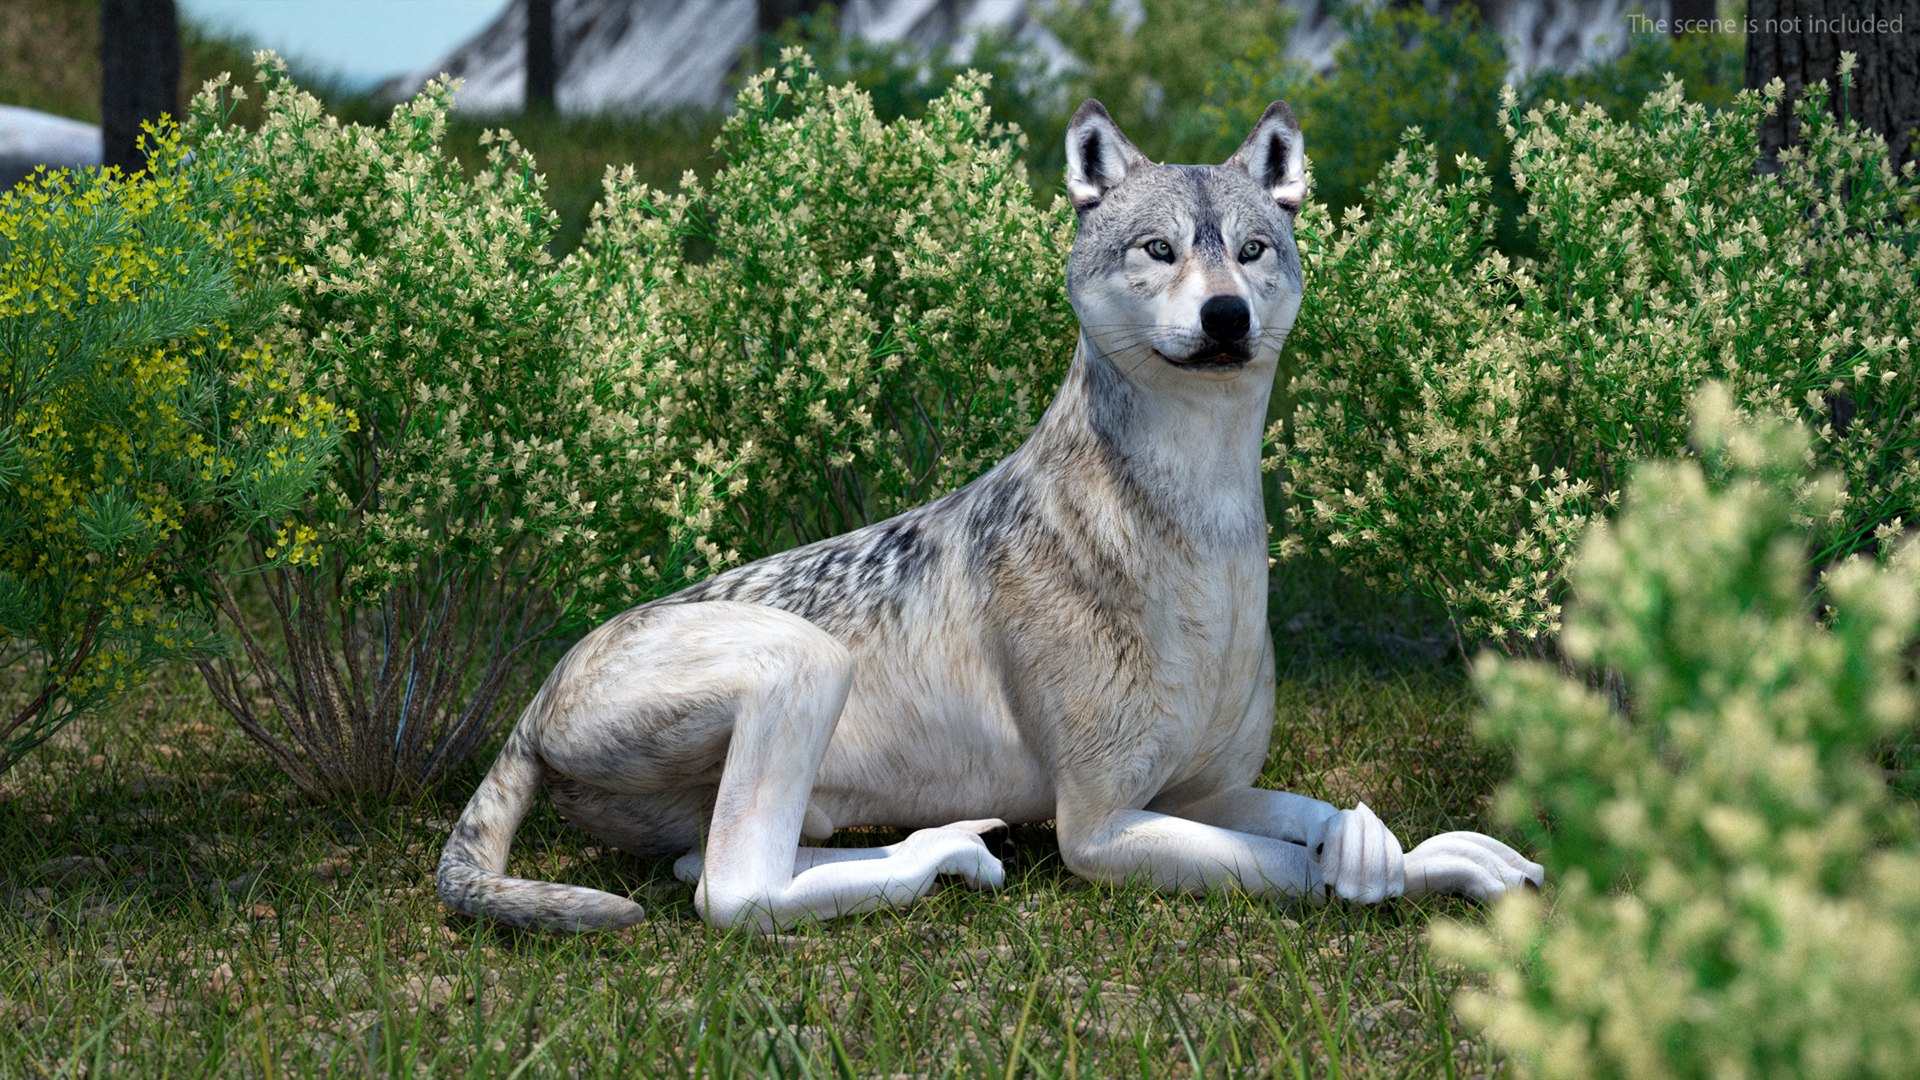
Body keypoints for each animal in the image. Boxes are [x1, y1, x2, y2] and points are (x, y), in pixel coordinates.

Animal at [436, 100, 1544, 933]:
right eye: (1160, 249)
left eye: (1253, 249)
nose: (1225, 316)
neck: (1210, 545)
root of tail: (535, 702)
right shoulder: (1103, 827)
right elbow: (1303, 869)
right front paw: (1426, 864)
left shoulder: (1202, 792)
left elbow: (1322, 815)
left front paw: (1372, 836)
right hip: (803, 662)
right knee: (731, 891)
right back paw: (936, 857)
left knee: (708, 868)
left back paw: (944, 848)